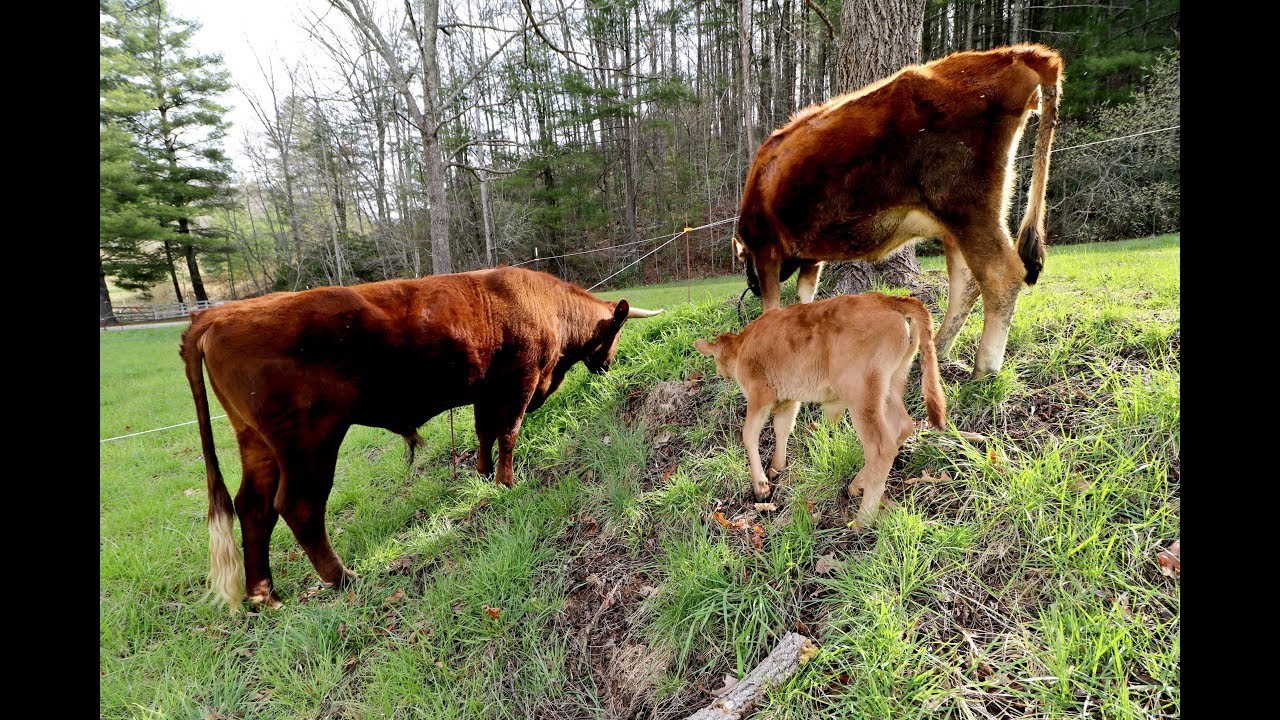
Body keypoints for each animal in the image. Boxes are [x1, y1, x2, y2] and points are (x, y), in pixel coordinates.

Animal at [180, 266, 661, 611]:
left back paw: (265, 596)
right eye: (617, 332)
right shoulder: (518, 385)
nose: (609, 364)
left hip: (257, 443)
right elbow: (507, 432)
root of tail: (218, 314)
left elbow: (484, 432)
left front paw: (483, 475)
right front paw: (507, 482)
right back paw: (342, 578)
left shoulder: (485, 392)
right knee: (298, 507)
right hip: (309, 442)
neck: (546, 307)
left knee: (254, 508)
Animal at [695, 292, 946, 526]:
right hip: (892, 384)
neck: (742, 345)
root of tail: (887, 298)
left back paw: (862, 520)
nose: (718, 372)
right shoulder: (789, 399)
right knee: (902, 427)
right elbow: (782, 429)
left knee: (881, 447)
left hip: (861, 393)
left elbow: (749, 434)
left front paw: (762, 487)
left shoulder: (760, 394)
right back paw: (857, 485)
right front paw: (777, 467)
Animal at [732, 44, 1063, 379]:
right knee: (966, 282)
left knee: (1001, 275)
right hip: (956, 224)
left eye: (744, 260)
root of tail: (1015, 54)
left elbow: (773, 305)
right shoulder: (811, 258)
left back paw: (984, 369)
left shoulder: (765, 247)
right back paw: (937, 350)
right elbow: (804, 297)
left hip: (968, 207)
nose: (752, 286)